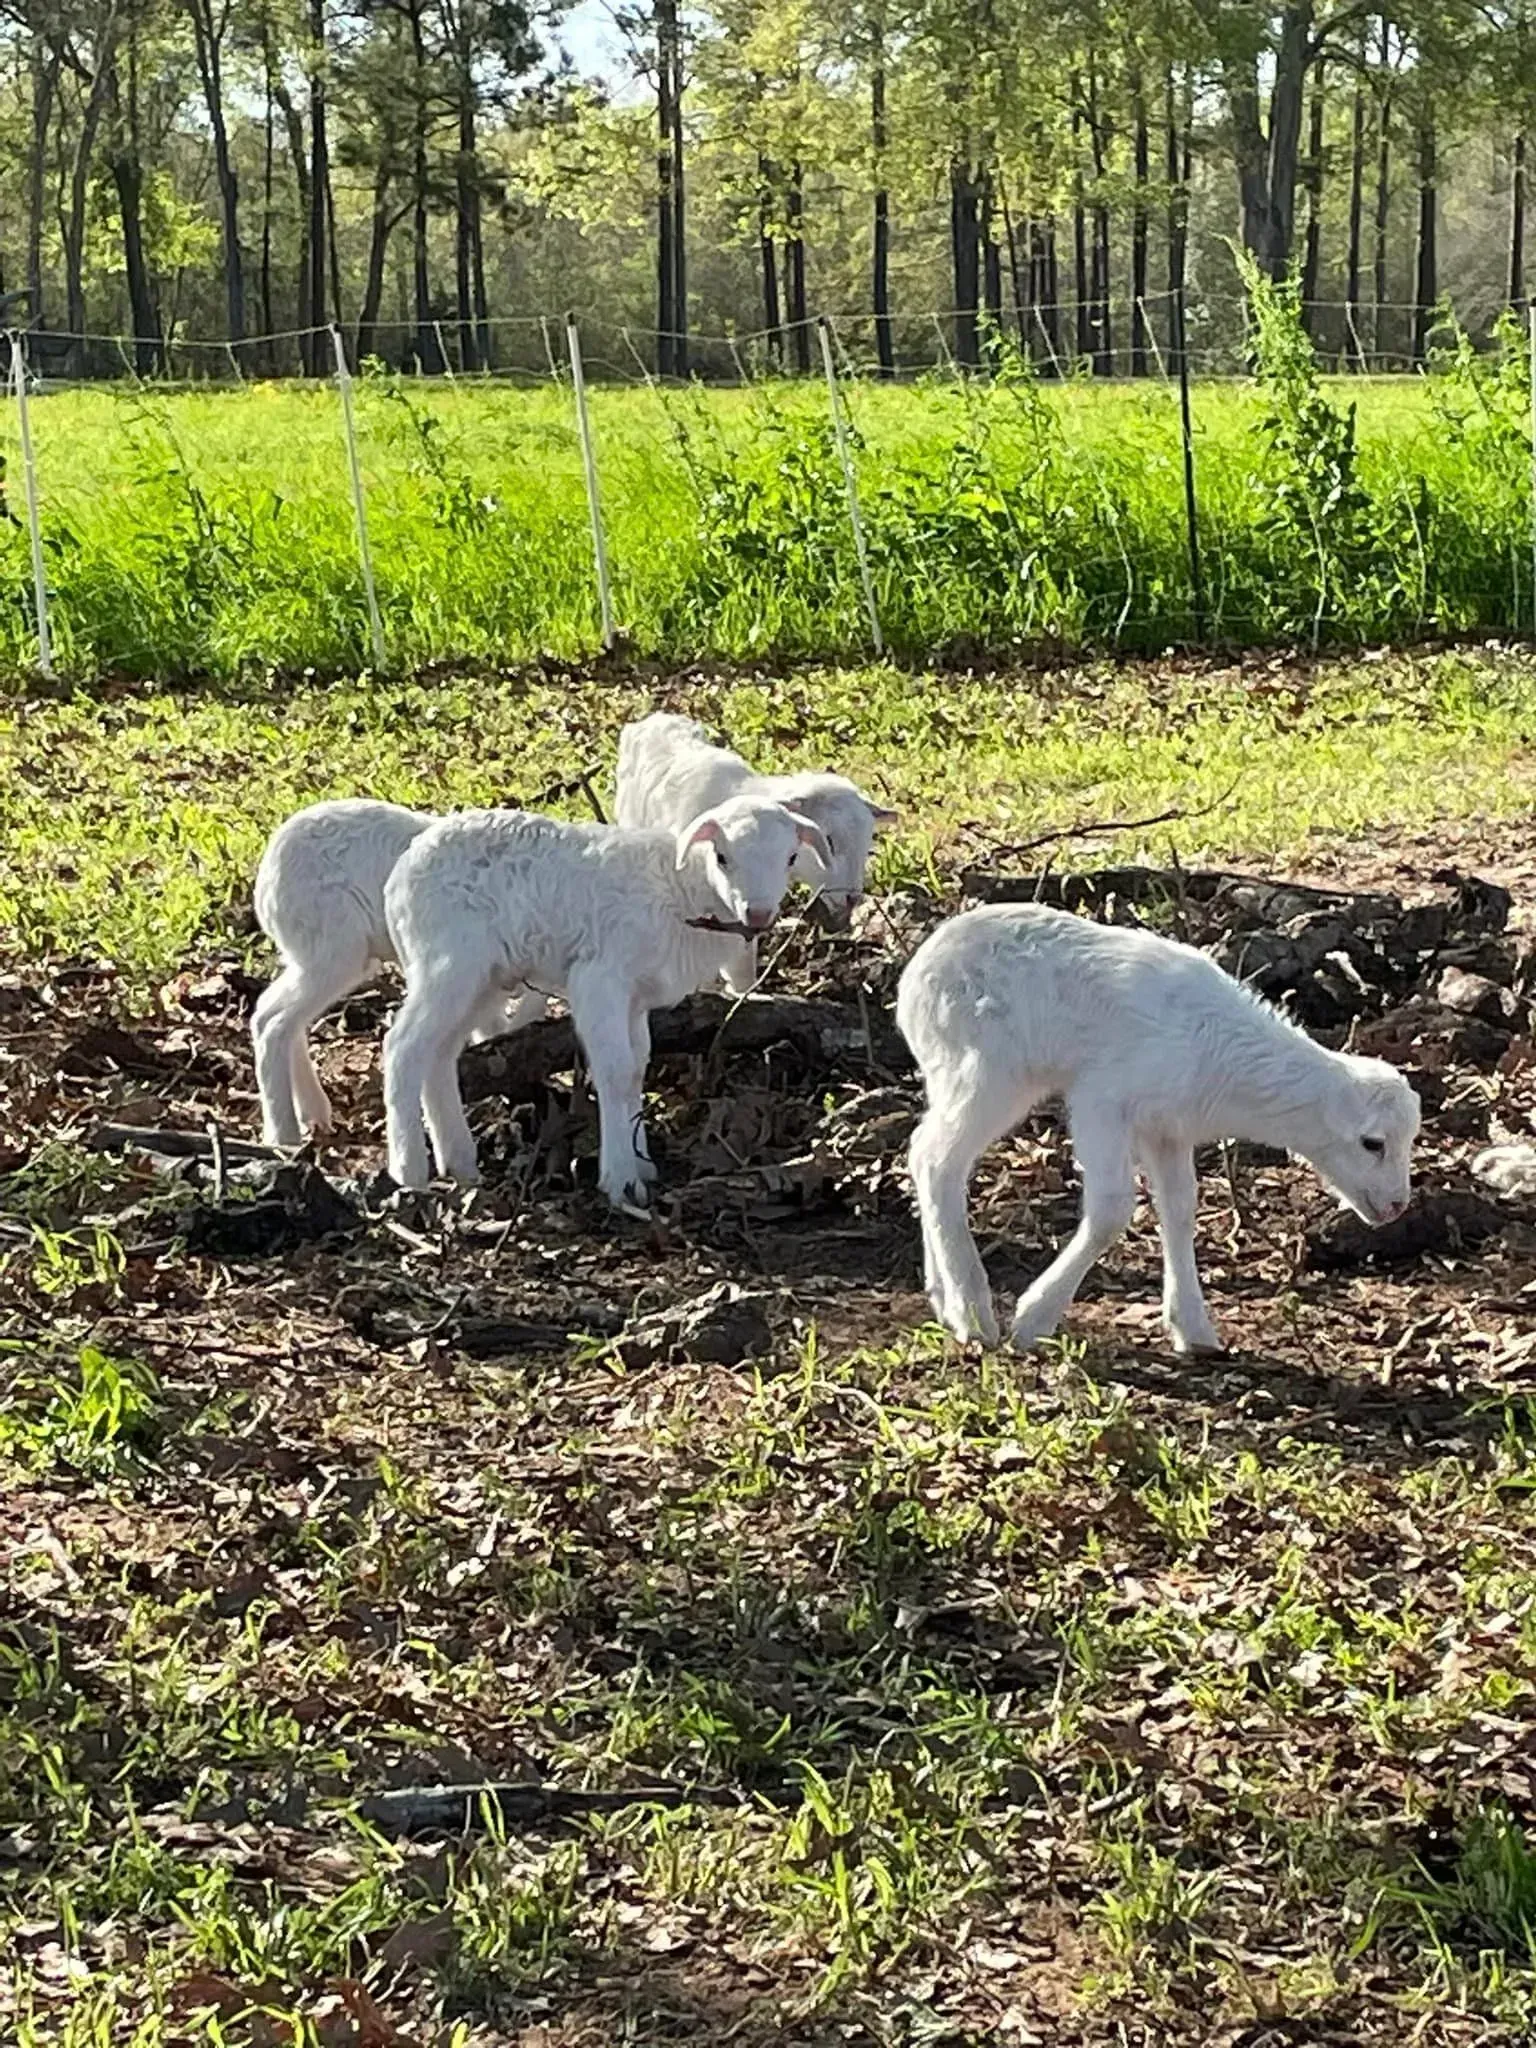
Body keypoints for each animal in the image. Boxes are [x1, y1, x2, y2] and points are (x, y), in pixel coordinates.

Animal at [251, 798, 538, 1148]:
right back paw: (286, 1136)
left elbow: (494, 1028)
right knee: (274, 1021)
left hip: (313, 957)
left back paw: (314, 1113)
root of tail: (266, 885)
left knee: (272, 1012)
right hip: (334, 952)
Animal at [381, 795, 830, 1199]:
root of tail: (400, 875)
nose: (758, 913)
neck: (683, 891)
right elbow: (614, 1070)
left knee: (438, 1055)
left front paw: (642, 1161)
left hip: (481, 978)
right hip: (449, 961)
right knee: (402, 1047)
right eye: (721, 857)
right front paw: (621, 1180)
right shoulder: (600, 979)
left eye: (791, 857)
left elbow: (636, 1068)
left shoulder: (635, 998)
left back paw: (459, 1162)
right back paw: (410, 1170)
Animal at [897, 903, 1420, 1355]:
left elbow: (1180, 1209)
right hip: (989, 1071)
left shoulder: (1167, 1128)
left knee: (923, 1150)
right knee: (938, 1161)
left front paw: (1194, 1328)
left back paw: (942, 1297)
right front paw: (1034, 1319)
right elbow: (1111, 1211)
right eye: (1372, 1143)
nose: (1398, 1206)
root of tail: (912, 982)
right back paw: (972, 1314)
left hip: (954, 1074)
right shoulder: (1102, 1100)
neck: (1223, 1054)